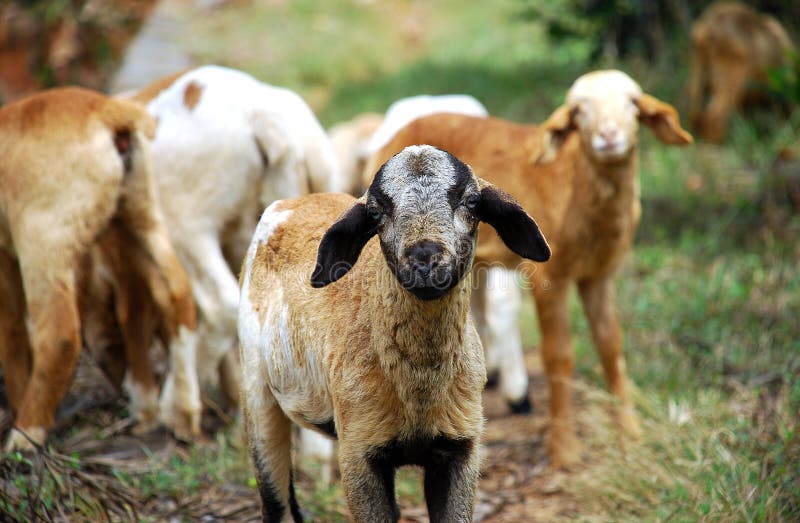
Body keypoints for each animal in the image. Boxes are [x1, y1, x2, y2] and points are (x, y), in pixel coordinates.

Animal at [0, 87, 197, 450]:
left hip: (44, 235)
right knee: (177, 292)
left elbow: (12, 331)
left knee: (60, 334)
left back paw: (26, 435)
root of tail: (108, 111)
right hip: (140, 212)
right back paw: (180, 415)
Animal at [239, 145, 550, 521]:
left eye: (472, 201)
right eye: (376, 211)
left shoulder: (462, 447)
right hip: (256, 393)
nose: (425, 258)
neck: (419, 390)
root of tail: (296, 201)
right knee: (276, 501)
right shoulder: (358, 453)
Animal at [366, 70, 693, 468]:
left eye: (632, 103)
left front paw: (631, 434)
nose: (609, 136)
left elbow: (611, 347)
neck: (573, 182)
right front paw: (565, 451)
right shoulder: (549, 275)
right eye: (579, 111)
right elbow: (559, 356)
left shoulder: (599, 273)